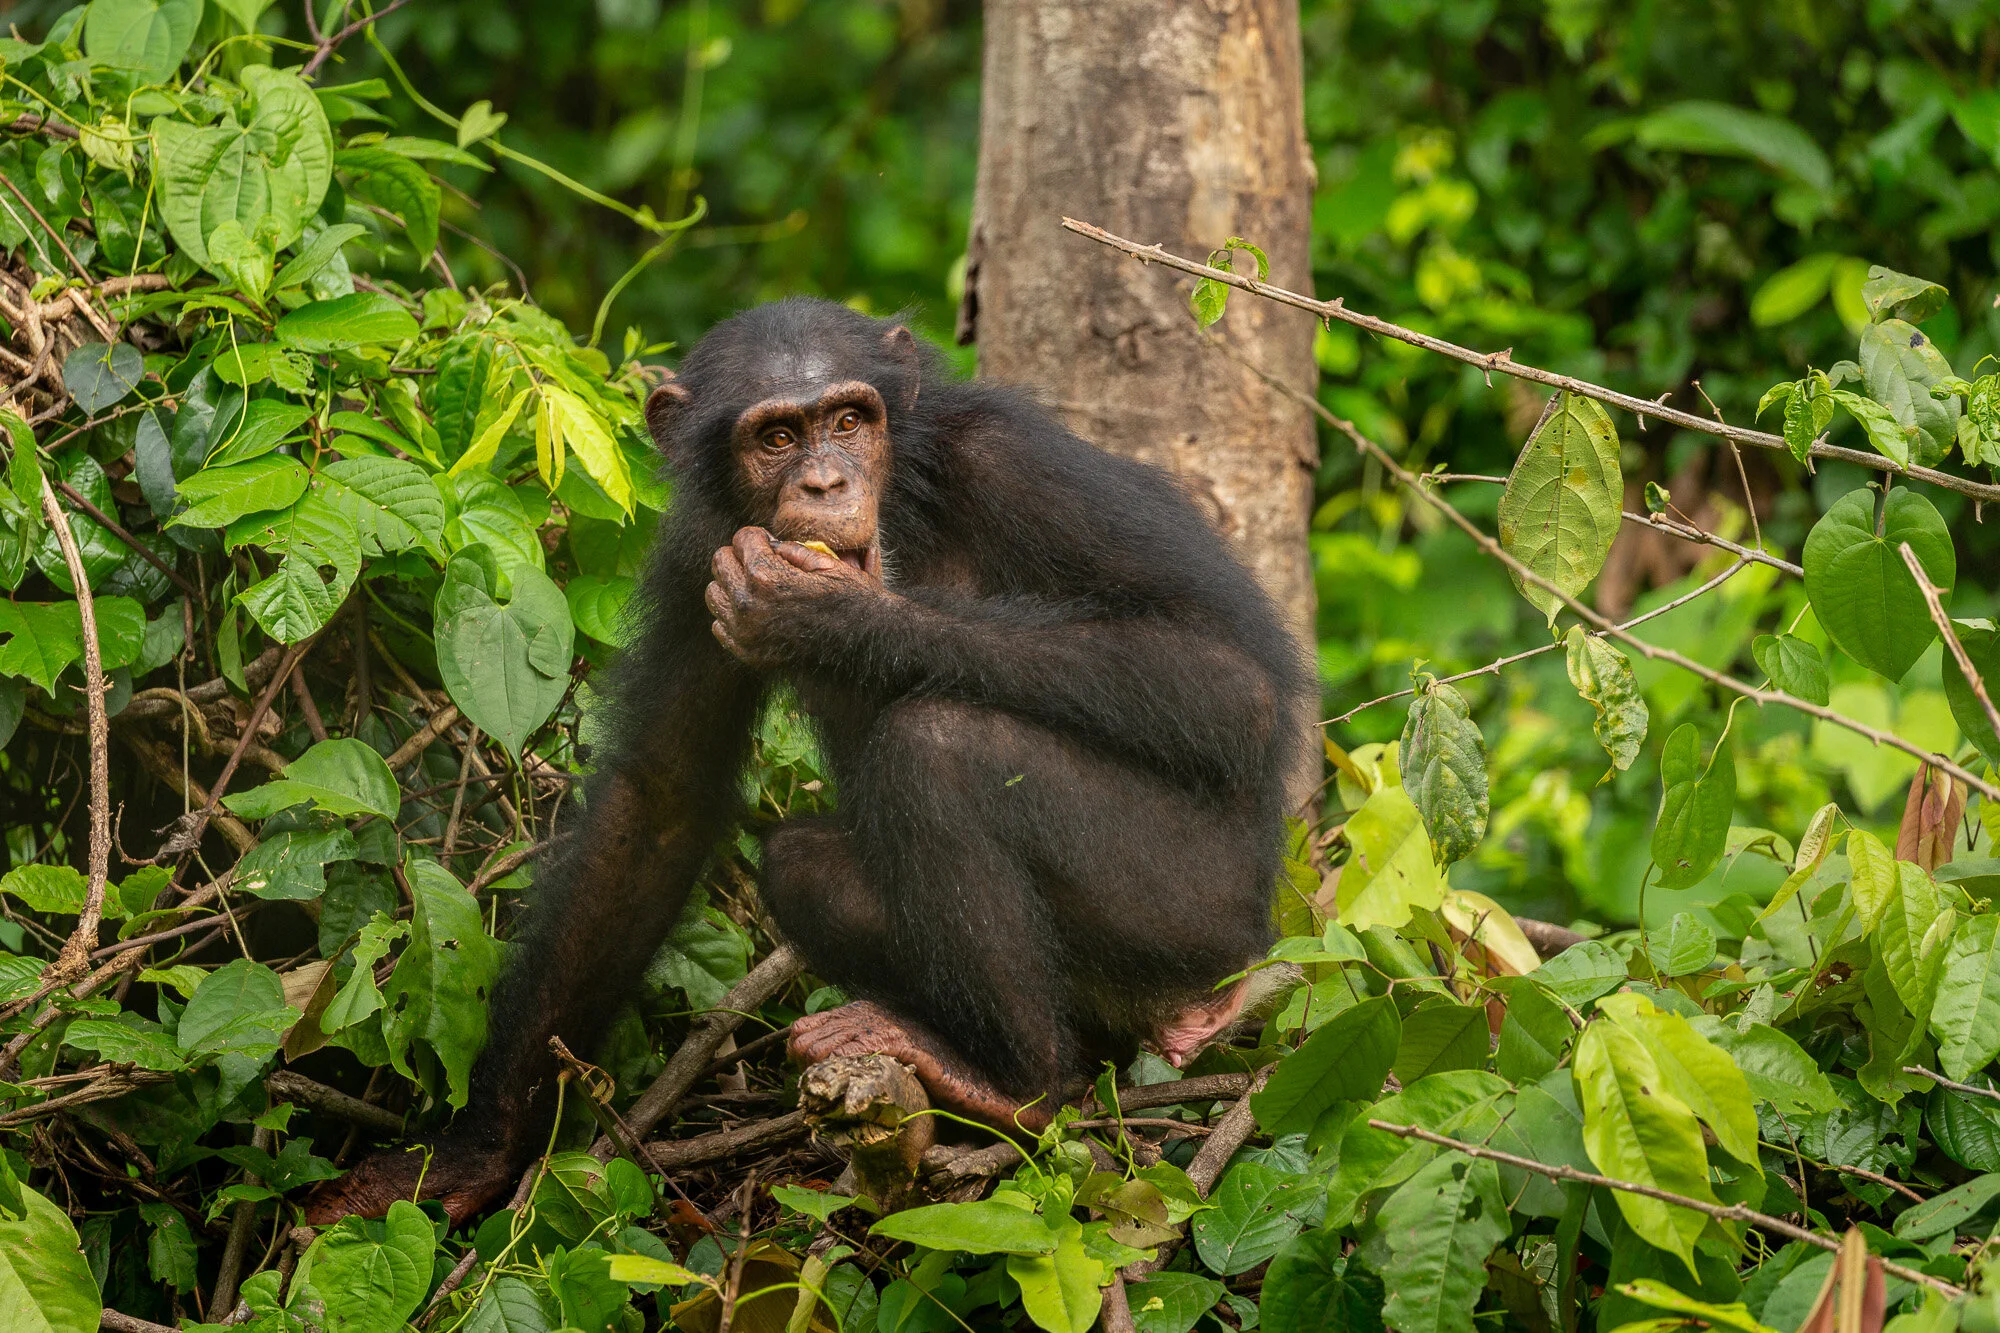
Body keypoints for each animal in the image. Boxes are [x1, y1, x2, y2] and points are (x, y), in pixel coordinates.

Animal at [306, 297, 1309, 1224]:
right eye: (778, 436)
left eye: (850, 420)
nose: (825, 480)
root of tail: (1210, 990)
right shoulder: (694, 548)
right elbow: (660, 797)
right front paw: (475, 1149)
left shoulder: (1019, 462)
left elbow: (1222, 672)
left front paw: (829, 615)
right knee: (801, 861)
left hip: (1189, 908)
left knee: (939, 747)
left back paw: (1013, 1088)